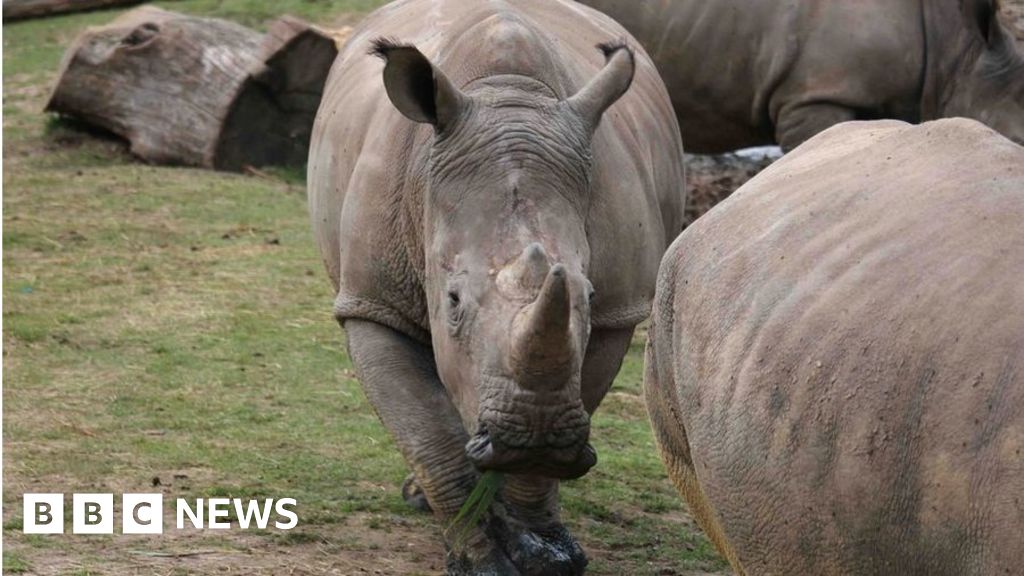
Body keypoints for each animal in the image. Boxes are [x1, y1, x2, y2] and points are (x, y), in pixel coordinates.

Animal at [307, 0, 686, 573]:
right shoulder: (372, 301)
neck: (507, 97)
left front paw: (545, 550)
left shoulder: (618, 311)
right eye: (452, 300)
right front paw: (481, 558)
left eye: (590, 296)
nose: (531, 438)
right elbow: (428, 436)